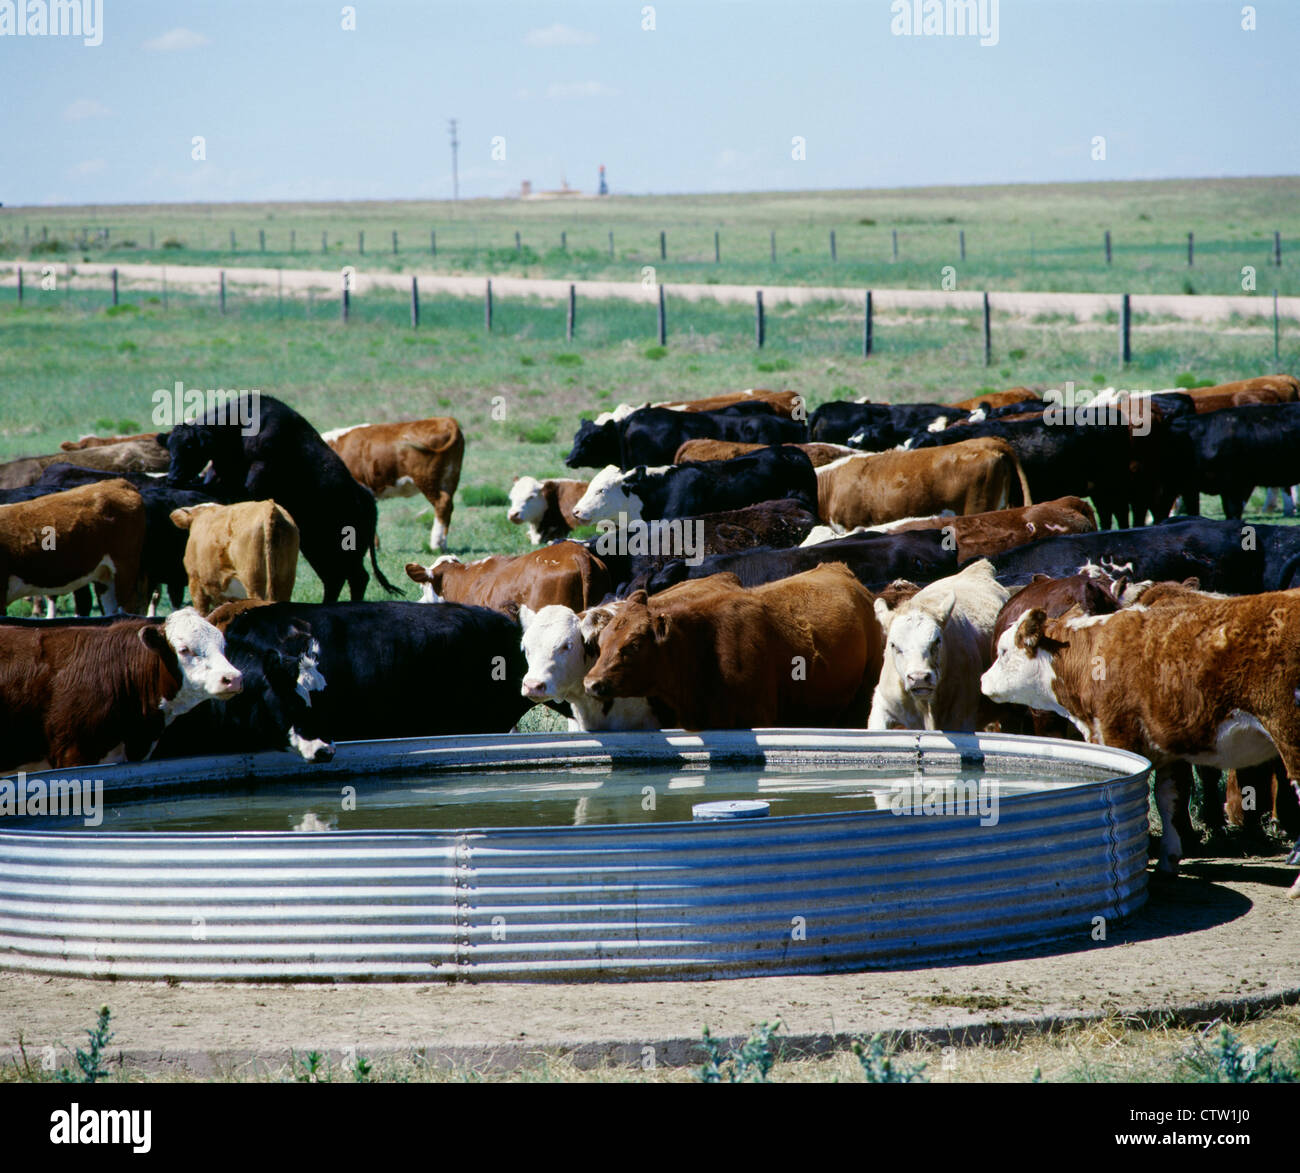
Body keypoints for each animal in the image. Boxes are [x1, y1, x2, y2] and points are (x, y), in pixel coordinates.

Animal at [157, 392, 400, 603]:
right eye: (170, 447)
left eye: (190, 446)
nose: (173, 477)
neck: (239, 427)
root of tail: (366, 497)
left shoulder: (252, 483)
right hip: (318, 547)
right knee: (335, 578)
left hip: (344, 547)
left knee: (357, 578)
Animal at [322, 417, 464, 552]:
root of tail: (446, 420)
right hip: (450, 479)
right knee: (448, 506)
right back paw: (443, 544)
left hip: (427, 480)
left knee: (441, 504)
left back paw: (435, 545)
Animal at [980, 591, 1300, 876]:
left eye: (1004, 651)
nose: (983, 680)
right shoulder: (1169, 749)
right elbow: (1170, 800)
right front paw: (1168, 858)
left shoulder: (1117, 737)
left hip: (1289, 734)